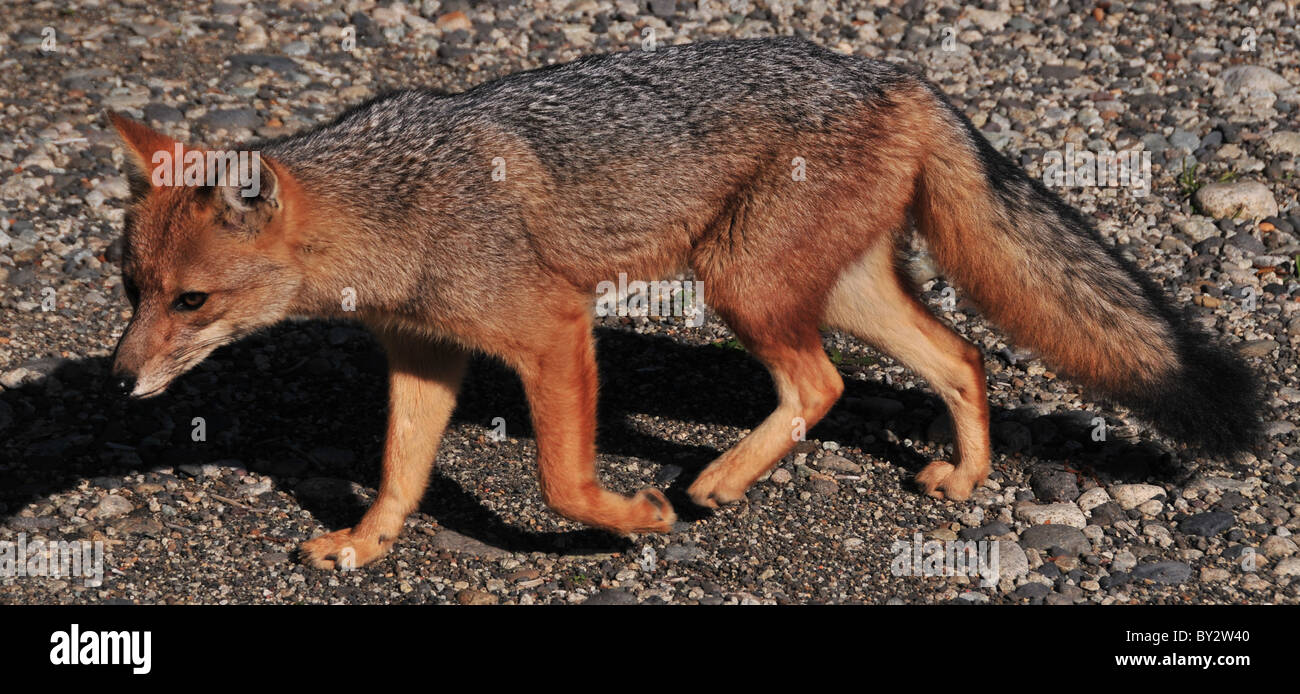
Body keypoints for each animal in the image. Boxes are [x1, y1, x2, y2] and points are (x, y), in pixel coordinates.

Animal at [107, 37, 1260, 570]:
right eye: (131, 290)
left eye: (192, 300)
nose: (118, 379)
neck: (395, 202)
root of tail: (892, 76)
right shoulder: (426, 354)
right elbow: (398, 473)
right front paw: (362, 544)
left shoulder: (550, 330)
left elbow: (562, 480)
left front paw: (632, 516)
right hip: (822, 287)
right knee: (959, 358)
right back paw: (962, 475)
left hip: (740, 283)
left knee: (825, 383)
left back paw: (713, 482)